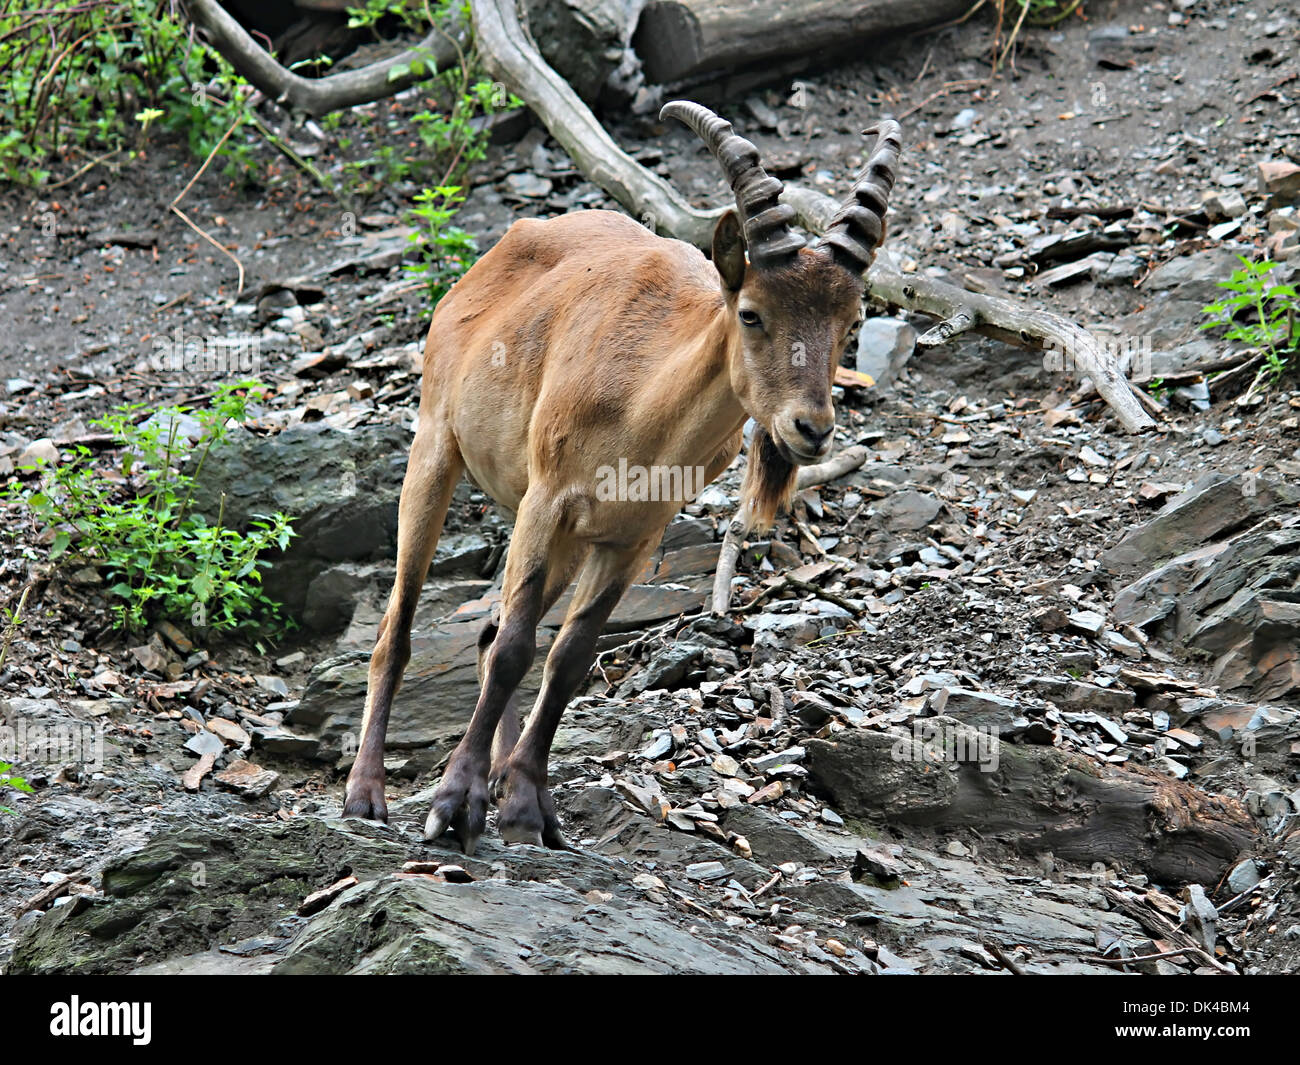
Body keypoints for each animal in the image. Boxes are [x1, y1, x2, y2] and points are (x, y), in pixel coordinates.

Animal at [342, 101, 902, 852]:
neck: (641, 410)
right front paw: (453, 807)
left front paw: (526, 808)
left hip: (565, 538)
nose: (810, 429)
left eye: (850, 323)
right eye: (752, 312)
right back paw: (365, 793)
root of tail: (496, 255)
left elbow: (568, 657)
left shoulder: (631, 538)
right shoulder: (548, 500)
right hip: (437, 445)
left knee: (488, 632)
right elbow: (517, 648)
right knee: (399, 630)